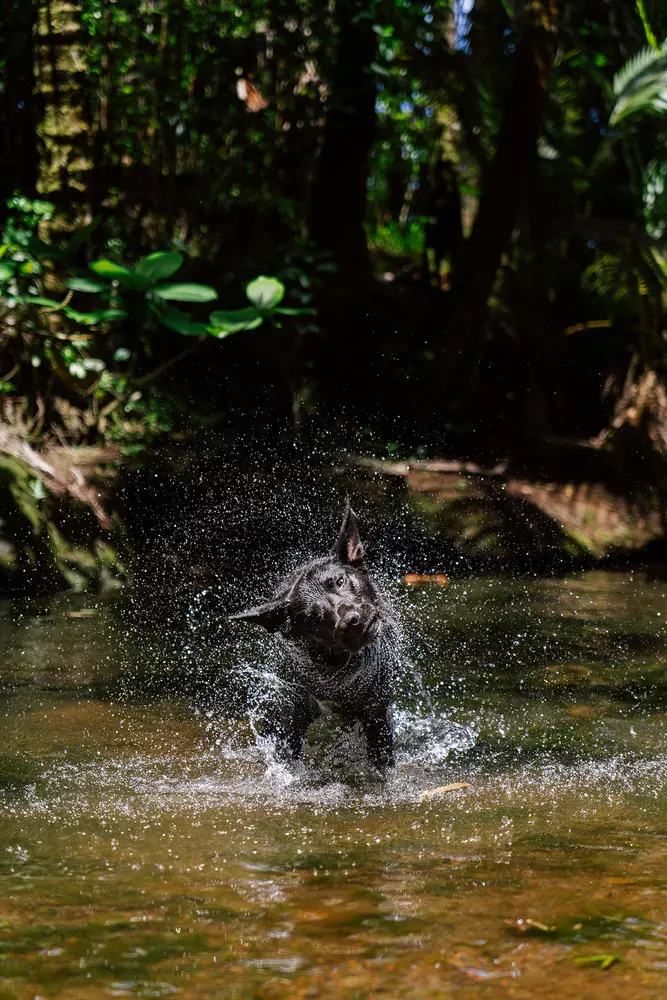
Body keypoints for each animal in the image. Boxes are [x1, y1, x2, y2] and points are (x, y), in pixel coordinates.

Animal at [230, 504, 400, 768]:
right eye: (313, 619)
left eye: (340, 581)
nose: (351, 620)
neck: (335, 673)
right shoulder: (292, 715)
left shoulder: (377, 714)